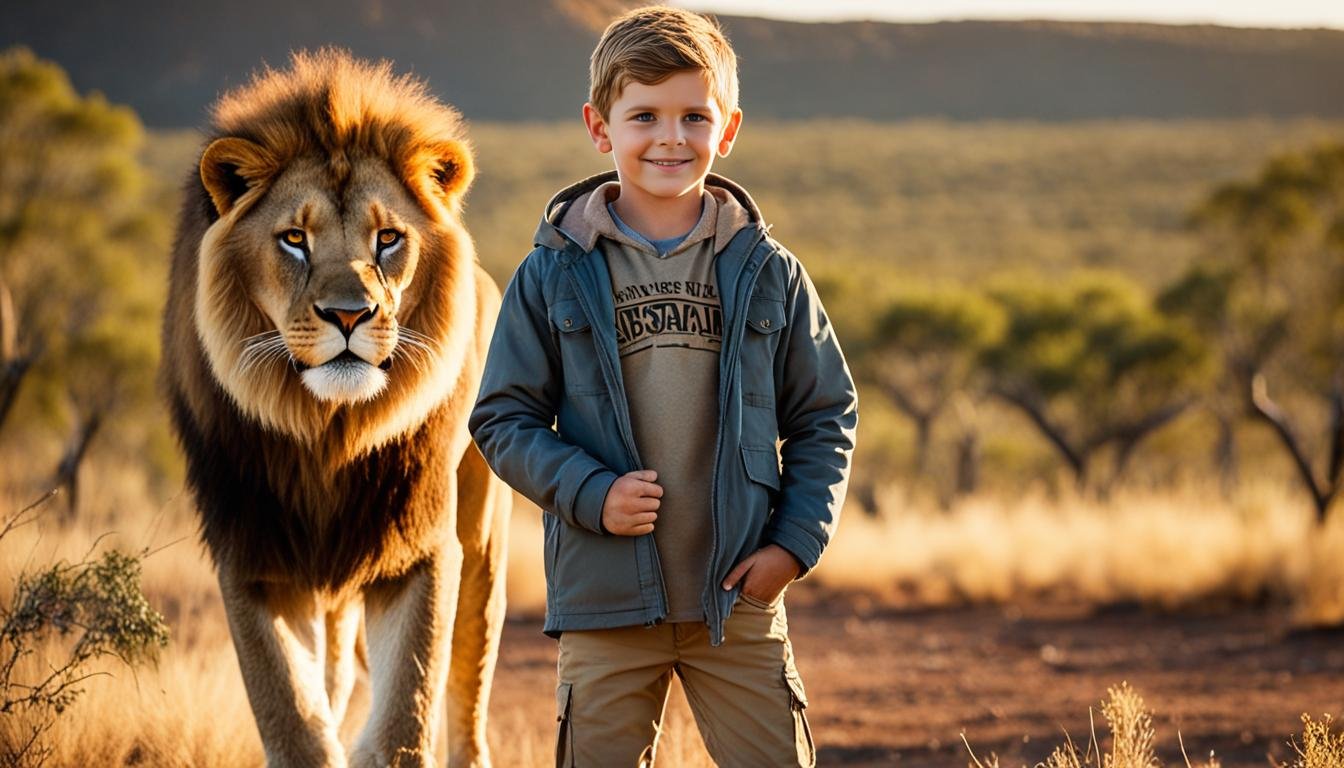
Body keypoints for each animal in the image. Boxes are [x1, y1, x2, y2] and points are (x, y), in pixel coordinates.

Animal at [160, 50, 509, 768]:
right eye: (294, 238)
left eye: (388, 239)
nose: (349, 314)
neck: (329, 433)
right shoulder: (253, 555)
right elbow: (294, 716)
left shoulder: (419, 549)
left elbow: (405, 718)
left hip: (482, 547)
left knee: (466, 703)